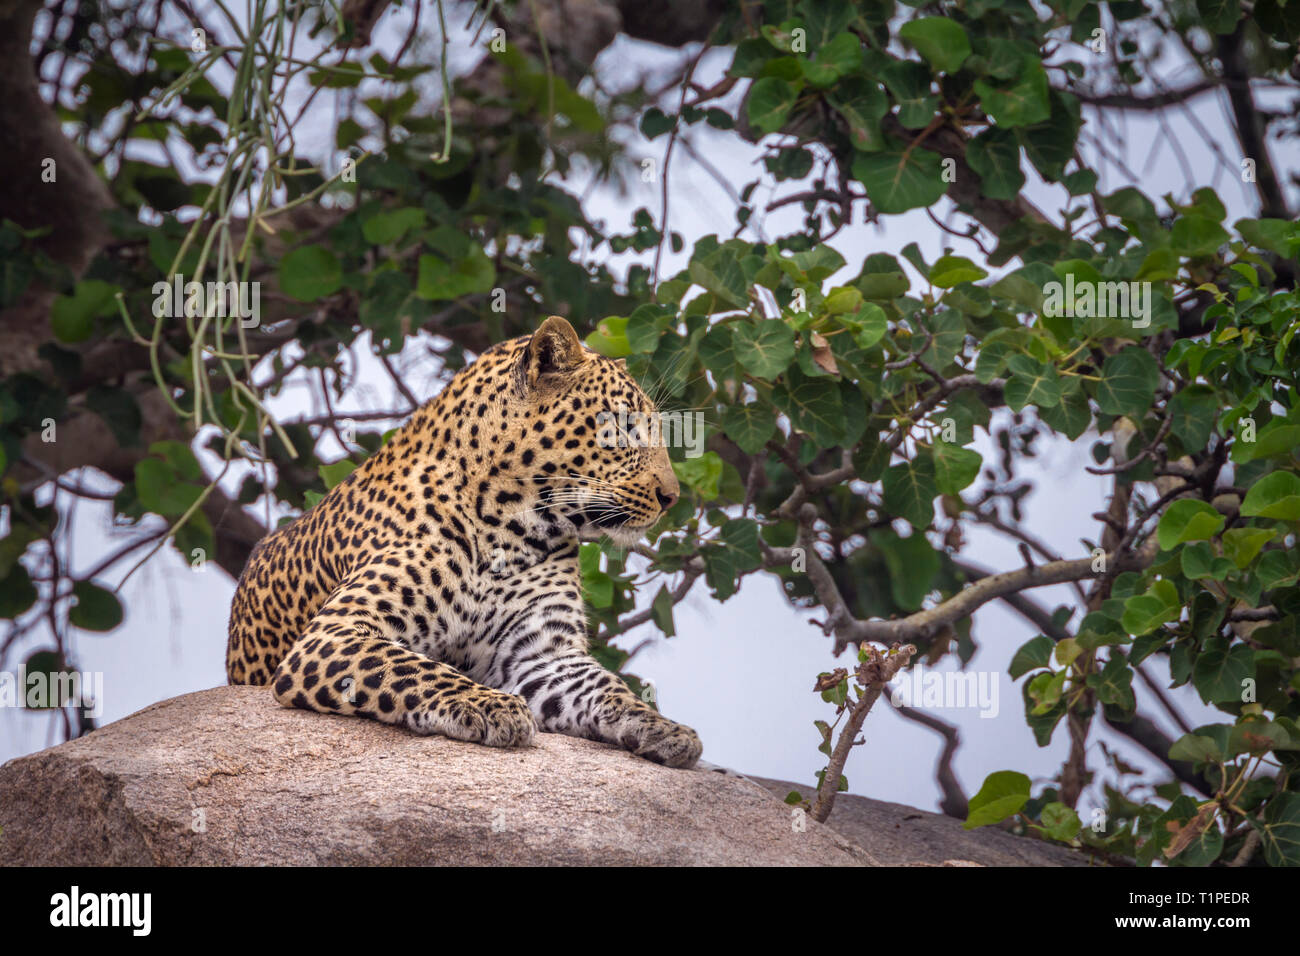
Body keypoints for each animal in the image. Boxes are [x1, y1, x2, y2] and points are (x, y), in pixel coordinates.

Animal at [225, 315, 702, 768]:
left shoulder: (541, 656)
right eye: (623, 427)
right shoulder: (335, 633)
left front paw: (666, 727)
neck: (509, 528)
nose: (672, 497)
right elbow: (410, 667)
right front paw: (489, 705)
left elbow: (608, 688)